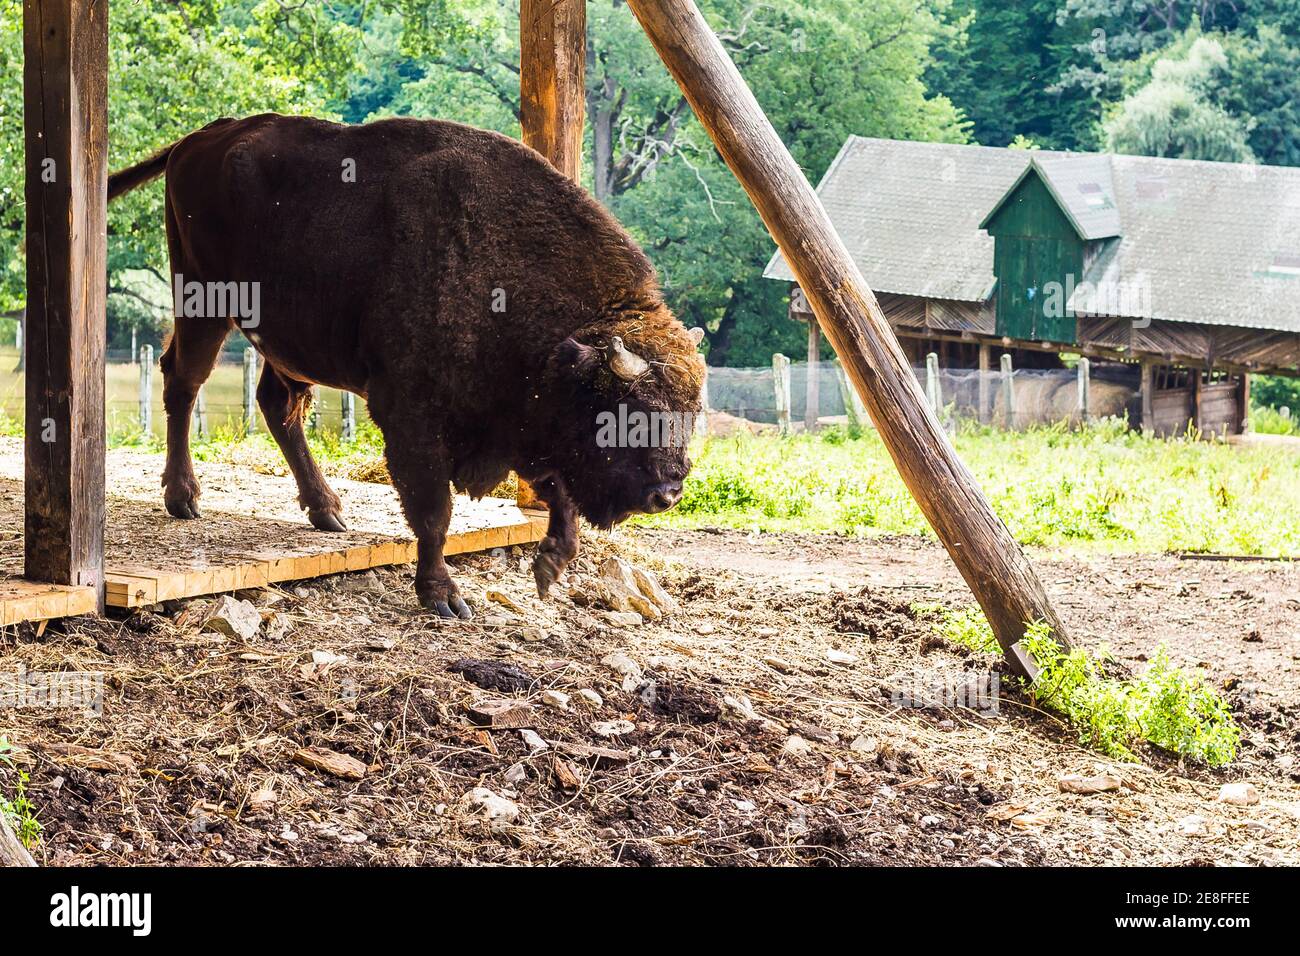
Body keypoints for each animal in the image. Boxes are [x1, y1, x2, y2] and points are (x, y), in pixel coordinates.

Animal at [108, 114, 705, 618]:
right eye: (627, 413)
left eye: (691, 414)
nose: (667, 493)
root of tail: (203, 138)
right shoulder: (412, 416)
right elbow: (434, 511)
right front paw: (443, 597)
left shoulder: (521, 424)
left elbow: (558, 492)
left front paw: (550, 567)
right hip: (201, 301)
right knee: (183, 382)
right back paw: (183, 498)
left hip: (290, 341)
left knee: (278, 405)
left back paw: (327, 510)